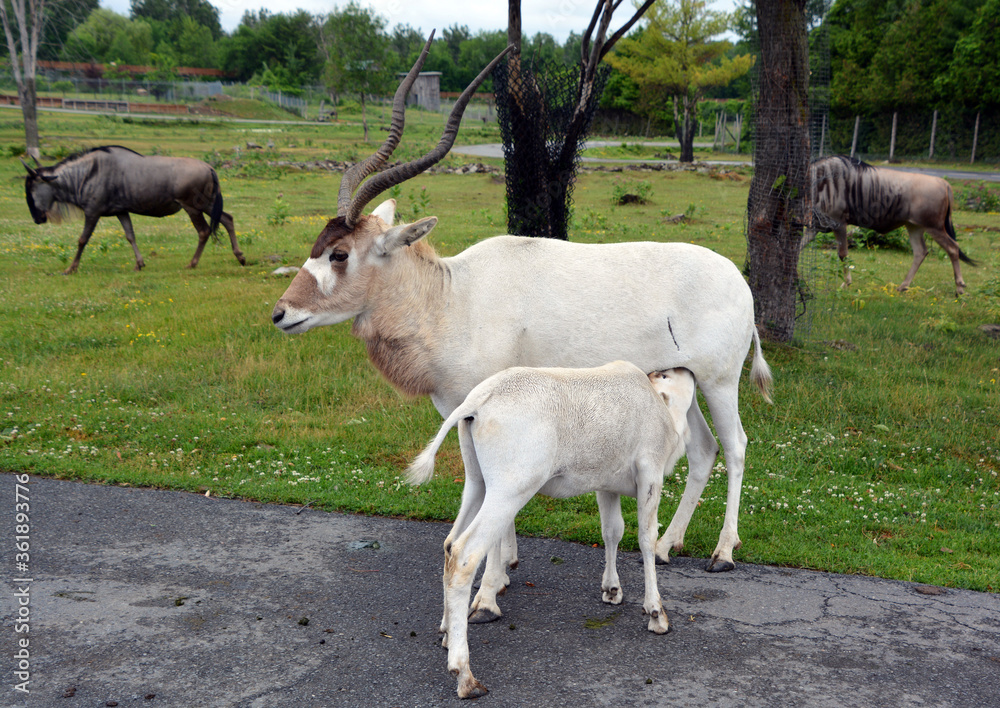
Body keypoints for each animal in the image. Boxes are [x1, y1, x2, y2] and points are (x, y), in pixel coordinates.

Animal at [272, 34, 772, 628]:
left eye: (340, 253)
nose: (281, 313)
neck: (453, 297)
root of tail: (740, 282)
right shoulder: (466, 413)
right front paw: (506, 566)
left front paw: (488, 591)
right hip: (681, 381)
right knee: (702, 451)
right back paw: (670, 544)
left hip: (719, 381)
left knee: (736, 447)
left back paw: (723, 552)